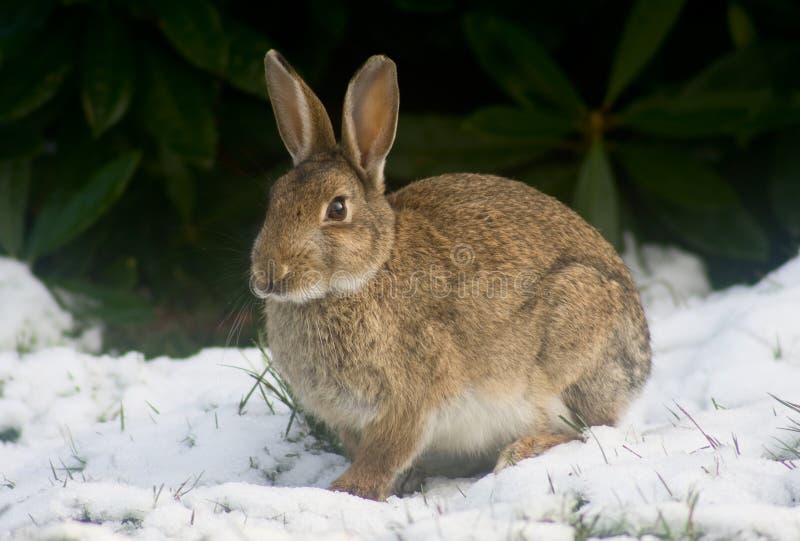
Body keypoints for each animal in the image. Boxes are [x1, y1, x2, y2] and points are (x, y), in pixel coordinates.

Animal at [250, 49, 651, 501]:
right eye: (275, 199)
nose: (268, 274)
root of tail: (640, 364)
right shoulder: (349, 419)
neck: (367, 270)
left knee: (587, 429)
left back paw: (518, 452)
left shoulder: (411, 396)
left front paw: (348, 489)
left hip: (565, 350)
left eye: (337, 209)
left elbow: (385, 452)